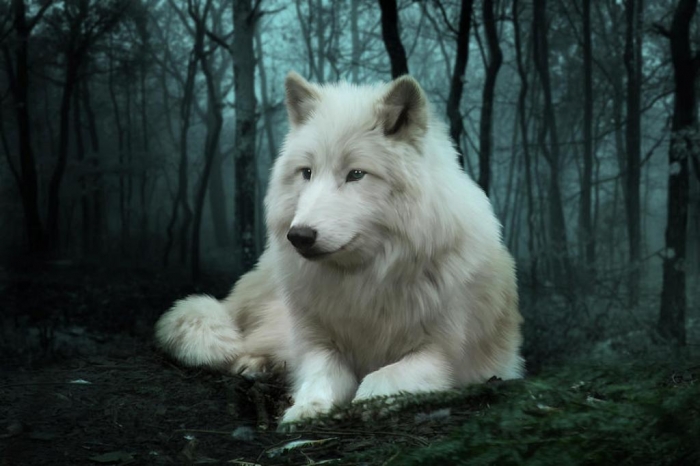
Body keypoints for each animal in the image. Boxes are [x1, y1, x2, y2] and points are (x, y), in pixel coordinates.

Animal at [155, 72, 524, 428]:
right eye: (307, 172)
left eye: (356, 174)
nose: (299, 236)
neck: (365, 281)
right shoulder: (317, 343)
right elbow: (321, 374)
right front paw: (306, 408)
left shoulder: (446, 356)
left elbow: (383, 376)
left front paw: (368, 402)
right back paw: (254, 365)